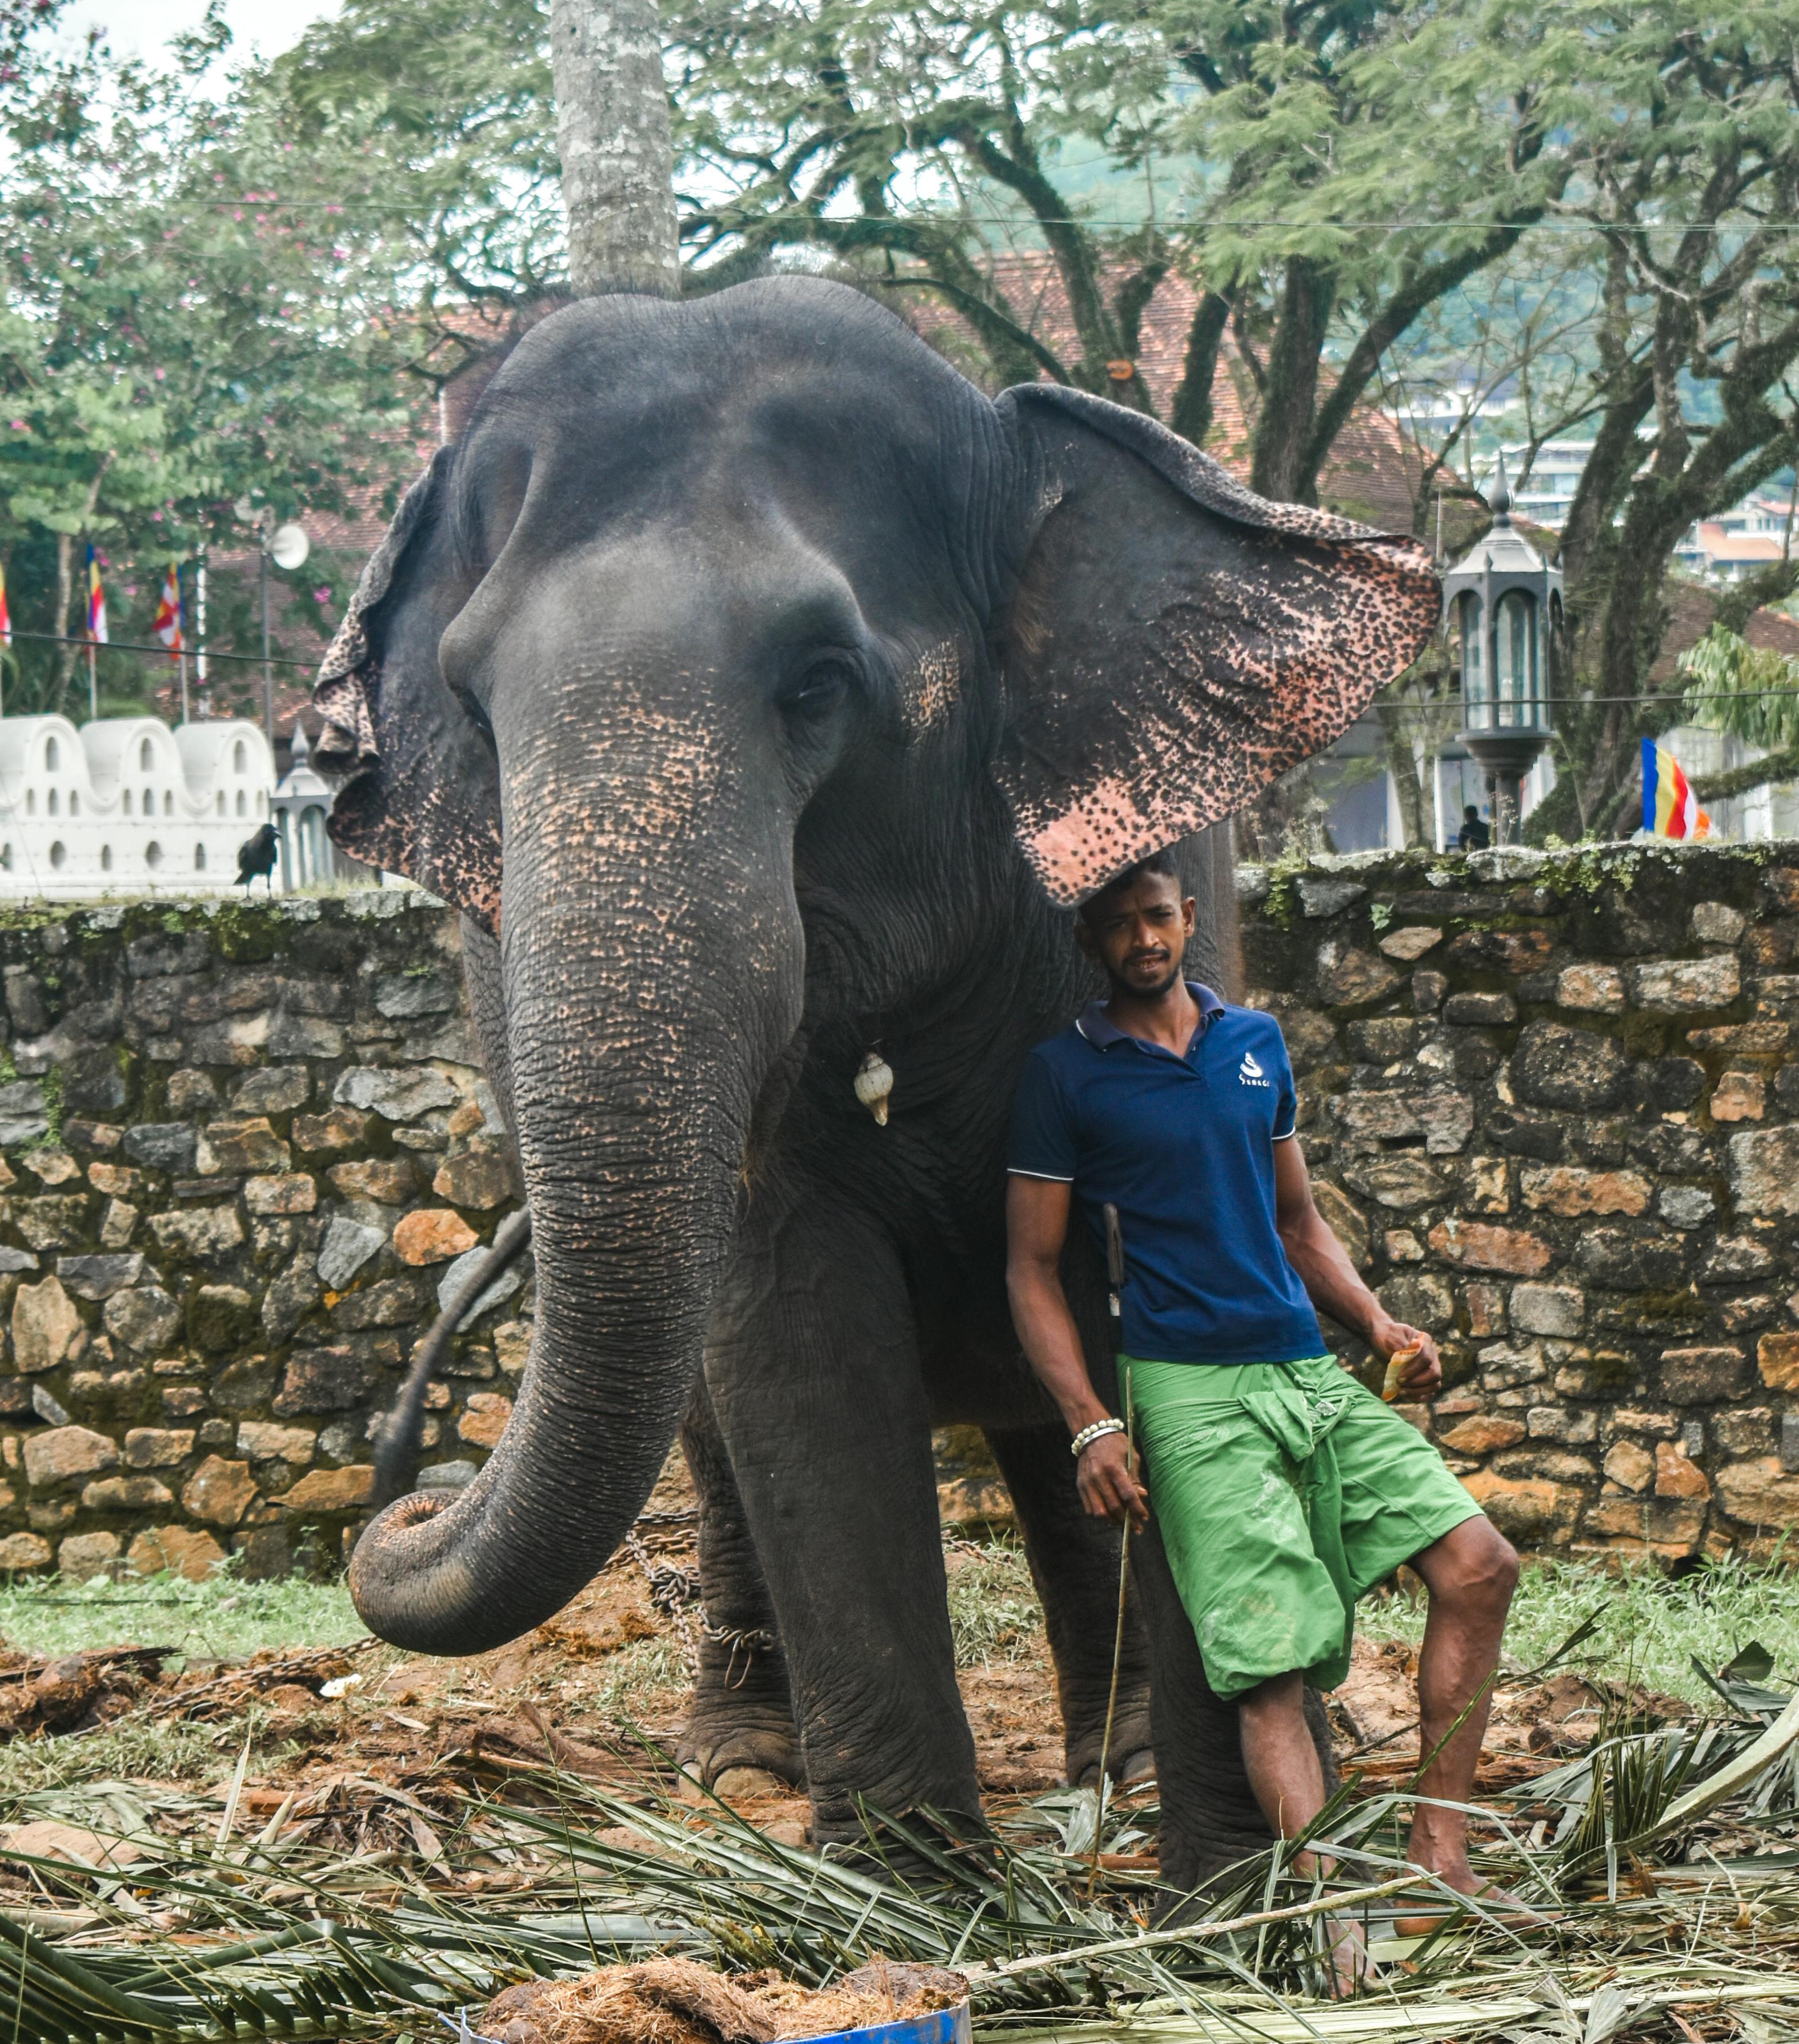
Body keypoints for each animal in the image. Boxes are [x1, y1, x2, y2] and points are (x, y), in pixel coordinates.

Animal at [314, 276, 1436, 1889]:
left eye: (817, 681)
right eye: (468, 704)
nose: (401, 1503)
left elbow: (1138, 1292)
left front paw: (1230, 1866)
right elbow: (793, 1328)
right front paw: (906, 1891)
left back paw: (1117, 1760)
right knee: (716, 1430)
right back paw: (743, 1763)